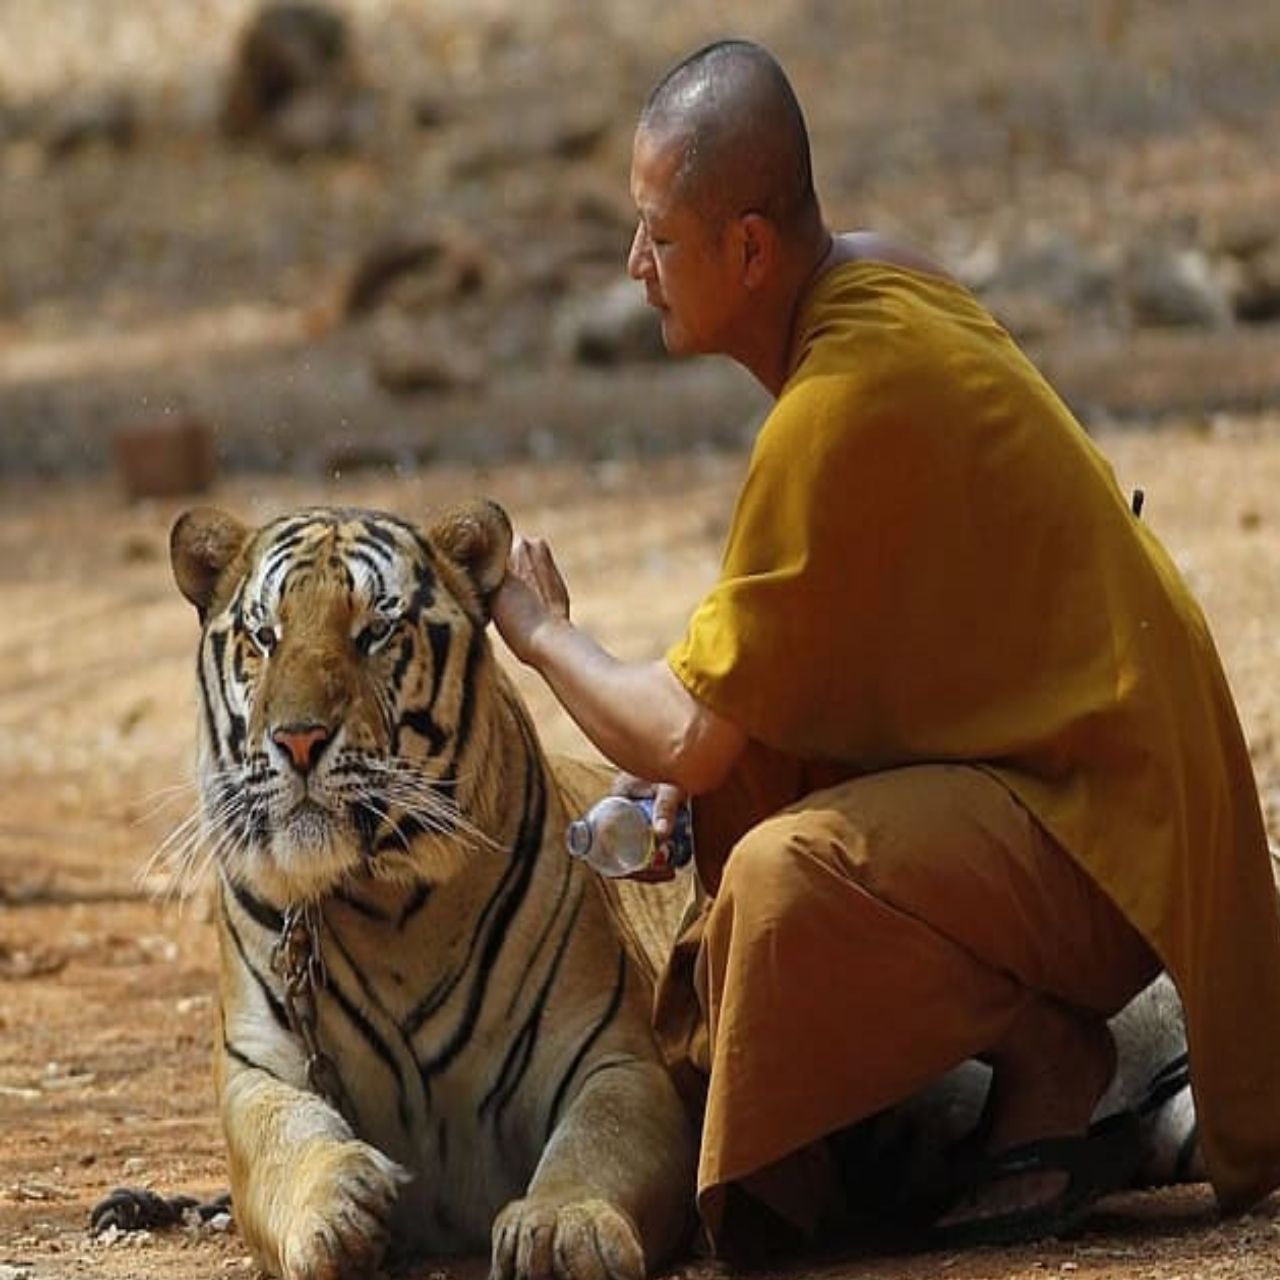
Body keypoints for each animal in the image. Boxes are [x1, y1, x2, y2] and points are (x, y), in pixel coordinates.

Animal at [164, 499, 697, 1280]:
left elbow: (598, 1139)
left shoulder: (616, 1056)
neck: (386, 907)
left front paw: (562, 1227)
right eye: (265, 637)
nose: (298, 740)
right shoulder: (256, 1068)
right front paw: (339, 1203)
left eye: (375, 631)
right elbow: (284, 1138)